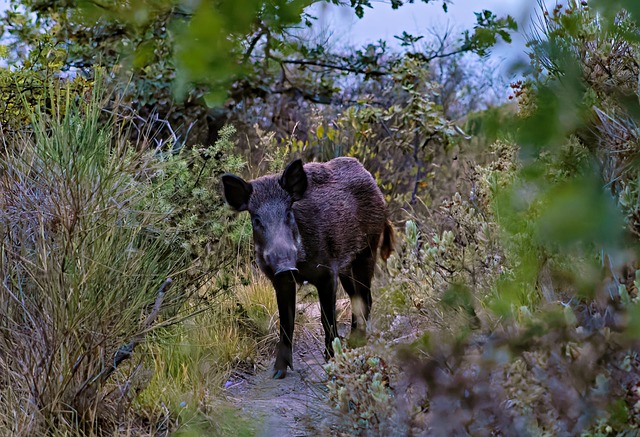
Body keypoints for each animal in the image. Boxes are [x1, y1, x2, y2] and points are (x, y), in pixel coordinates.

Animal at [222, 157, 394, 379]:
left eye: (288, 213)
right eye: (256, 219)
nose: (285, 266)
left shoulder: (327, 273)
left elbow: (327, 319)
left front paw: (332, 364)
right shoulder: (281, 281)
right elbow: (286, 322)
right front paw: (277, 373)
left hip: (367, 252)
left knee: (366, 297)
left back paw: (359, 342)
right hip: (347, 268)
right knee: (356, 298)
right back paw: (353, 342)